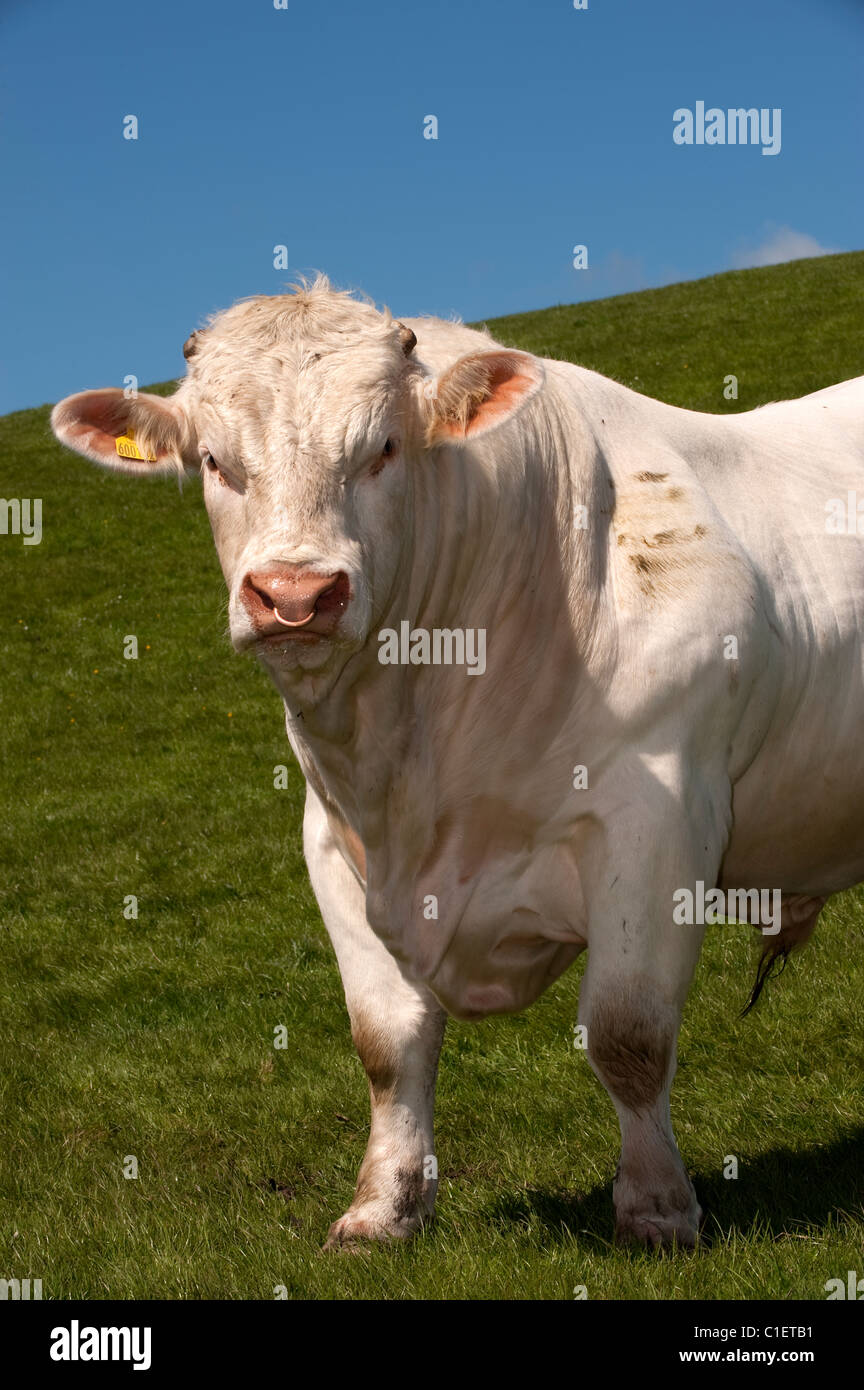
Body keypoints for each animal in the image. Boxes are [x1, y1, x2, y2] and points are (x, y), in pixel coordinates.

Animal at [51, 277, 864, 1250]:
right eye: (213, 461)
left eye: (385, 449)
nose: (294, 597)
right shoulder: (334, 843)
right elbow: (388, 1043)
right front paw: (381, 1210)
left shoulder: (659, 815)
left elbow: (627, 1033)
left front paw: (659, 1210)